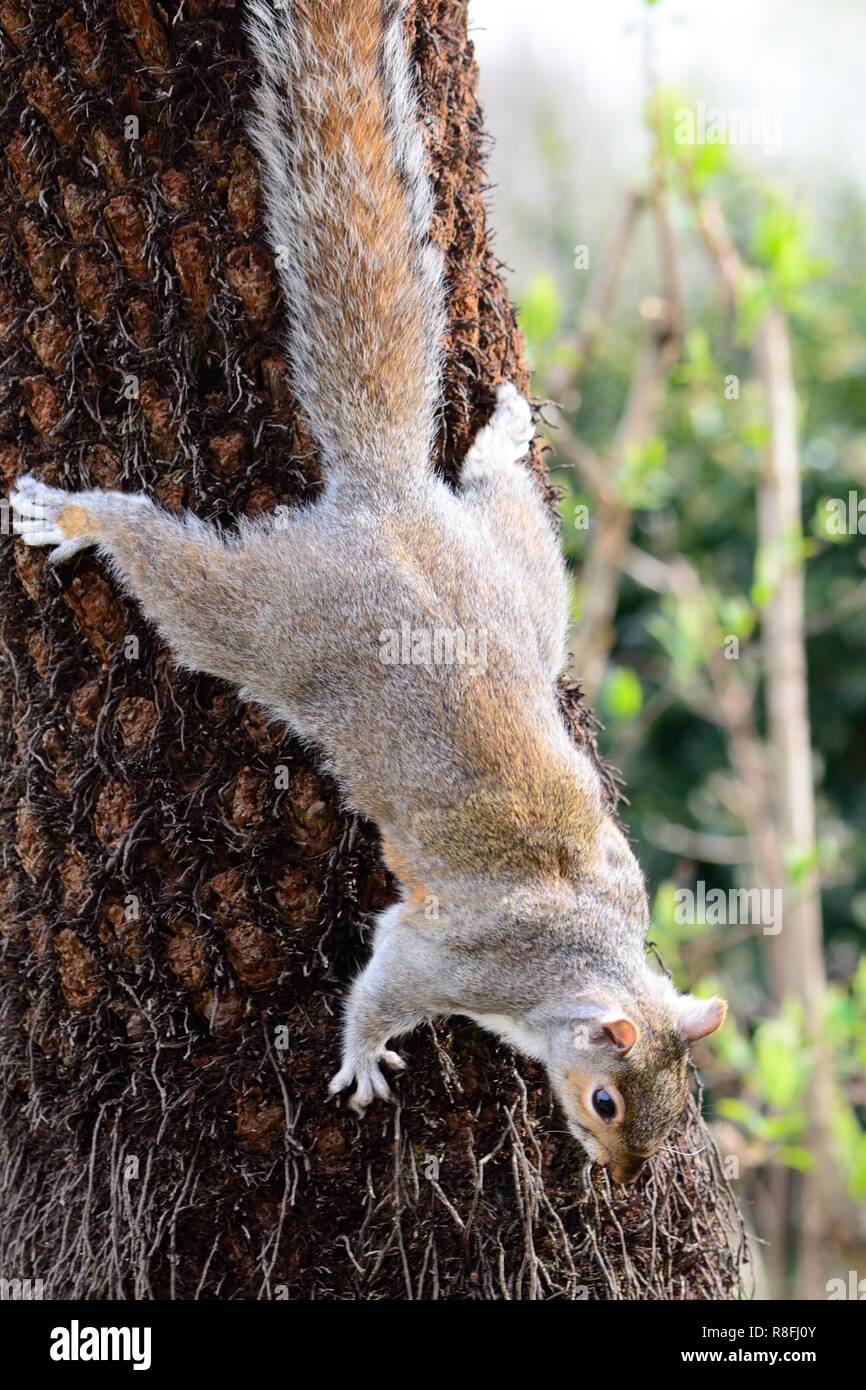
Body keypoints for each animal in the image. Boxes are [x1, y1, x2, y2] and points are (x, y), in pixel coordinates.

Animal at [7, 0, 725, 1186]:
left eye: (677, 1110)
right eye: (608, 1099)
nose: (619, 1179)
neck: (582, 954)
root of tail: (389, 502)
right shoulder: (457, 960)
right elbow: (384, 983)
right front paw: (360, 1060)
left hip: (517, 586)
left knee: (507, 517)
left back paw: (503, 436)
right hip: (271, 618)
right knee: (181, 578)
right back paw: (76, 519)